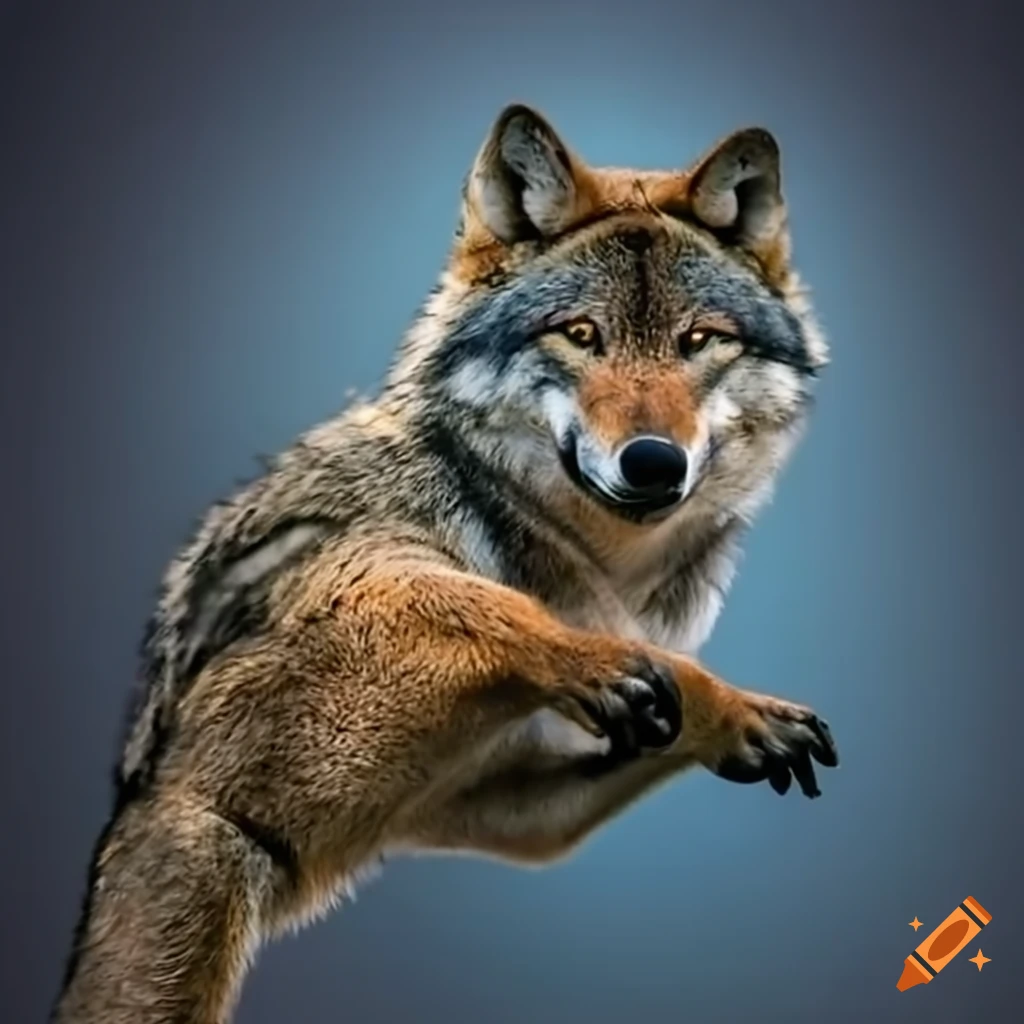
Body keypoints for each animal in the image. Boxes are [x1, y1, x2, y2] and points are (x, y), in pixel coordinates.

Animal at [54, 104, 838, 1023]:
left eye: (701, 340)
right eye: (581, 335)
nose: (652, 462)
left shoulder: (498, 811)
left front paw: (730, 716)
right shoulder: (356, 573)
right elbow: (473, 601)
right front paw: (613, 664)